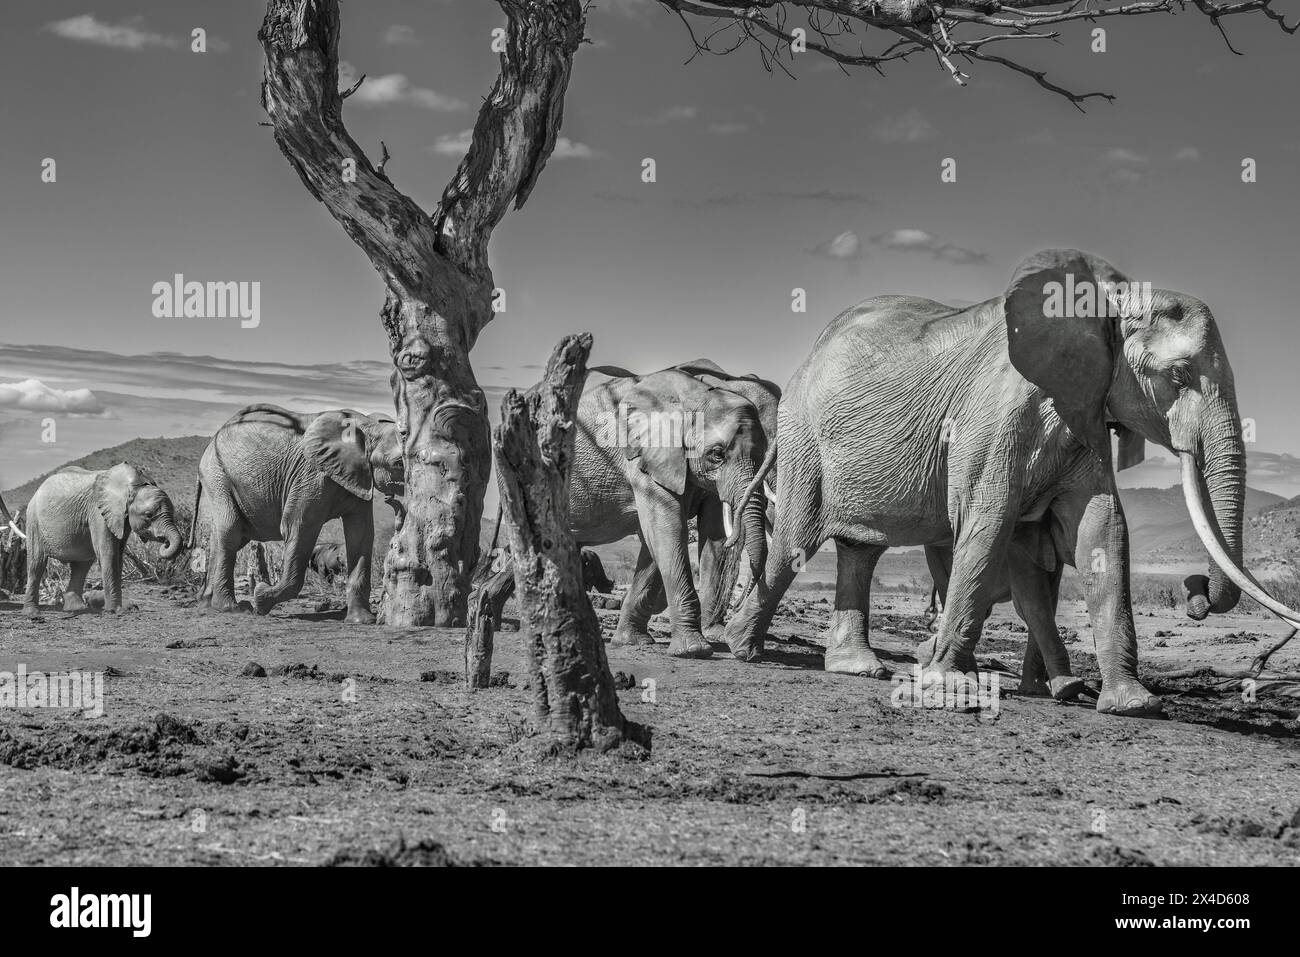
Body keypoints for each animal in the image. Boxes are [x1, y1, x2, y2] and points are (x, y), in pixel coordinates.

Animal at [22, 463, 184, 615]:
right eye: (149, 515)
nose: (164, 542)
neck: (131, 486)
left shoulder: (121, 518)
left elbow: (118, 555)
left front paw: (119, 608)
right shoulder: (98, 511)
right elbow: (109, 553)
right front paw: (115, 610)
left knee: (81, 565)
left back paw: (78, 608)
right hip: (33, 521)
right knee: (37, 563)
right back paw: (32, 612)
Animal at [192, 404, 403, 623]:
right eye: (399, 463)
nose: (390, 499)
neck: (368, 424)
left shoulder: (359, 478)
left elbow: (361, 535)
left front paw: (362, 621)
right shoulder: (311, 476)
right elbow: (299, 527)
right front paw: (260, 597)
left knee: (223, 537)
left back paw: (206, 604)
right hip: (217, 475)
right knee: (230, 531)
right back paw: (231, 608)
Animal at [480, 365, 772, 658]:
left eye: (763, 454)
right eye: (717, 454)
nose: (746, 654)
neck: (697, 395)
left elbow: (685, 538)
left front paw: (633, 641)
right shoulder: (644, 458)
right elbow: (667, 529)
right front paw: (694, 651)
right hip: (513, 467)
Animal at [724, 248, 1300, 716]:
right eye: (1177, 376)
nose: (1193, 592)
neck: (1102, 303)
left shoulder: (1084, 411)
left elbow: (1101, 529)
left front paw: (1133, 705)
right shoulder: (993, 414)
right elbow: (987, 521)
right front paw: (946, 685)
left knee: (859, 551)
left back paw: (856, 668)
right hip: (805, 437)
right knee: (796, 541)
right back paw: (739, 648)